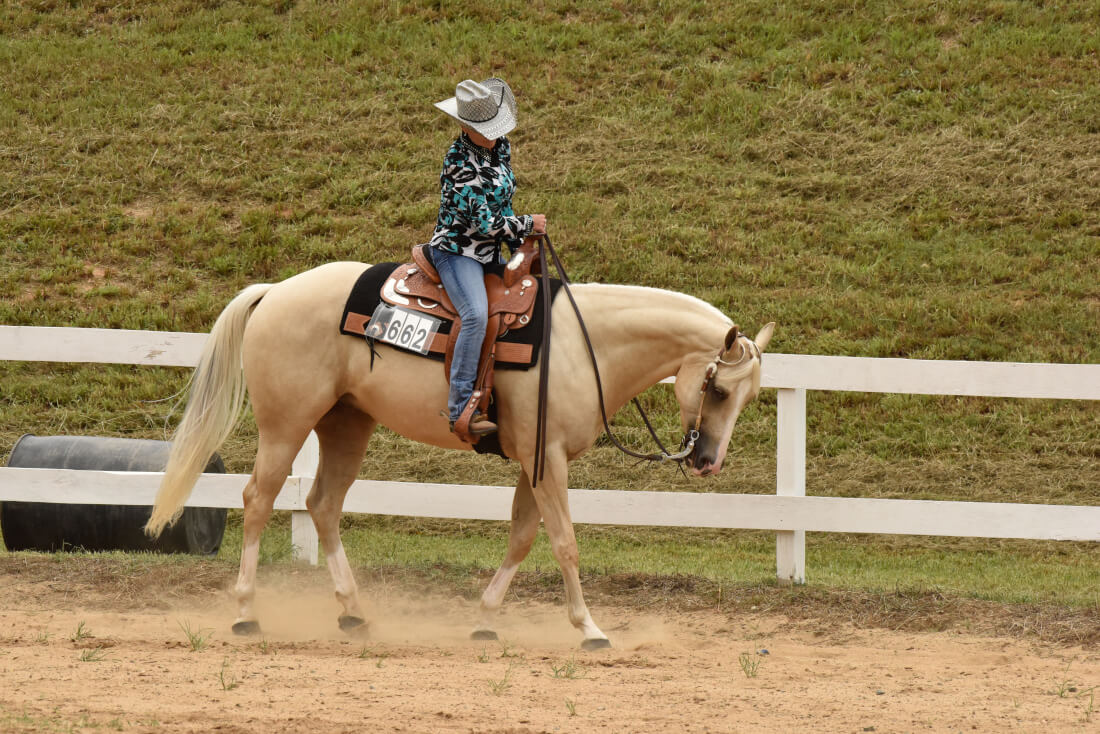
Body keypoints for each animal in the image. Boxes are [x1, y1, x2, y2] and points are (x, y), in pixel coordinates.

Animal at [145, 260, 775, 649]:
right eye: (720, 391)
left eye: (749, 396)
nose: (708, 461)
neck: (585, 344)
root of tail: (275, 292)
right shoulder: (549, 460)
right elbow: (564, 542)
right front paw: (590, 628)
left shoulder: (534, 461)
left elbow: (522, 537)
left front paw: (485, 621)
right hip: (286, 424)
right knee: (258, 499)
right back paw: (246, 613)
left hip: (347, 424)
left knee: (322, 504)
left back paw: (353, 613)